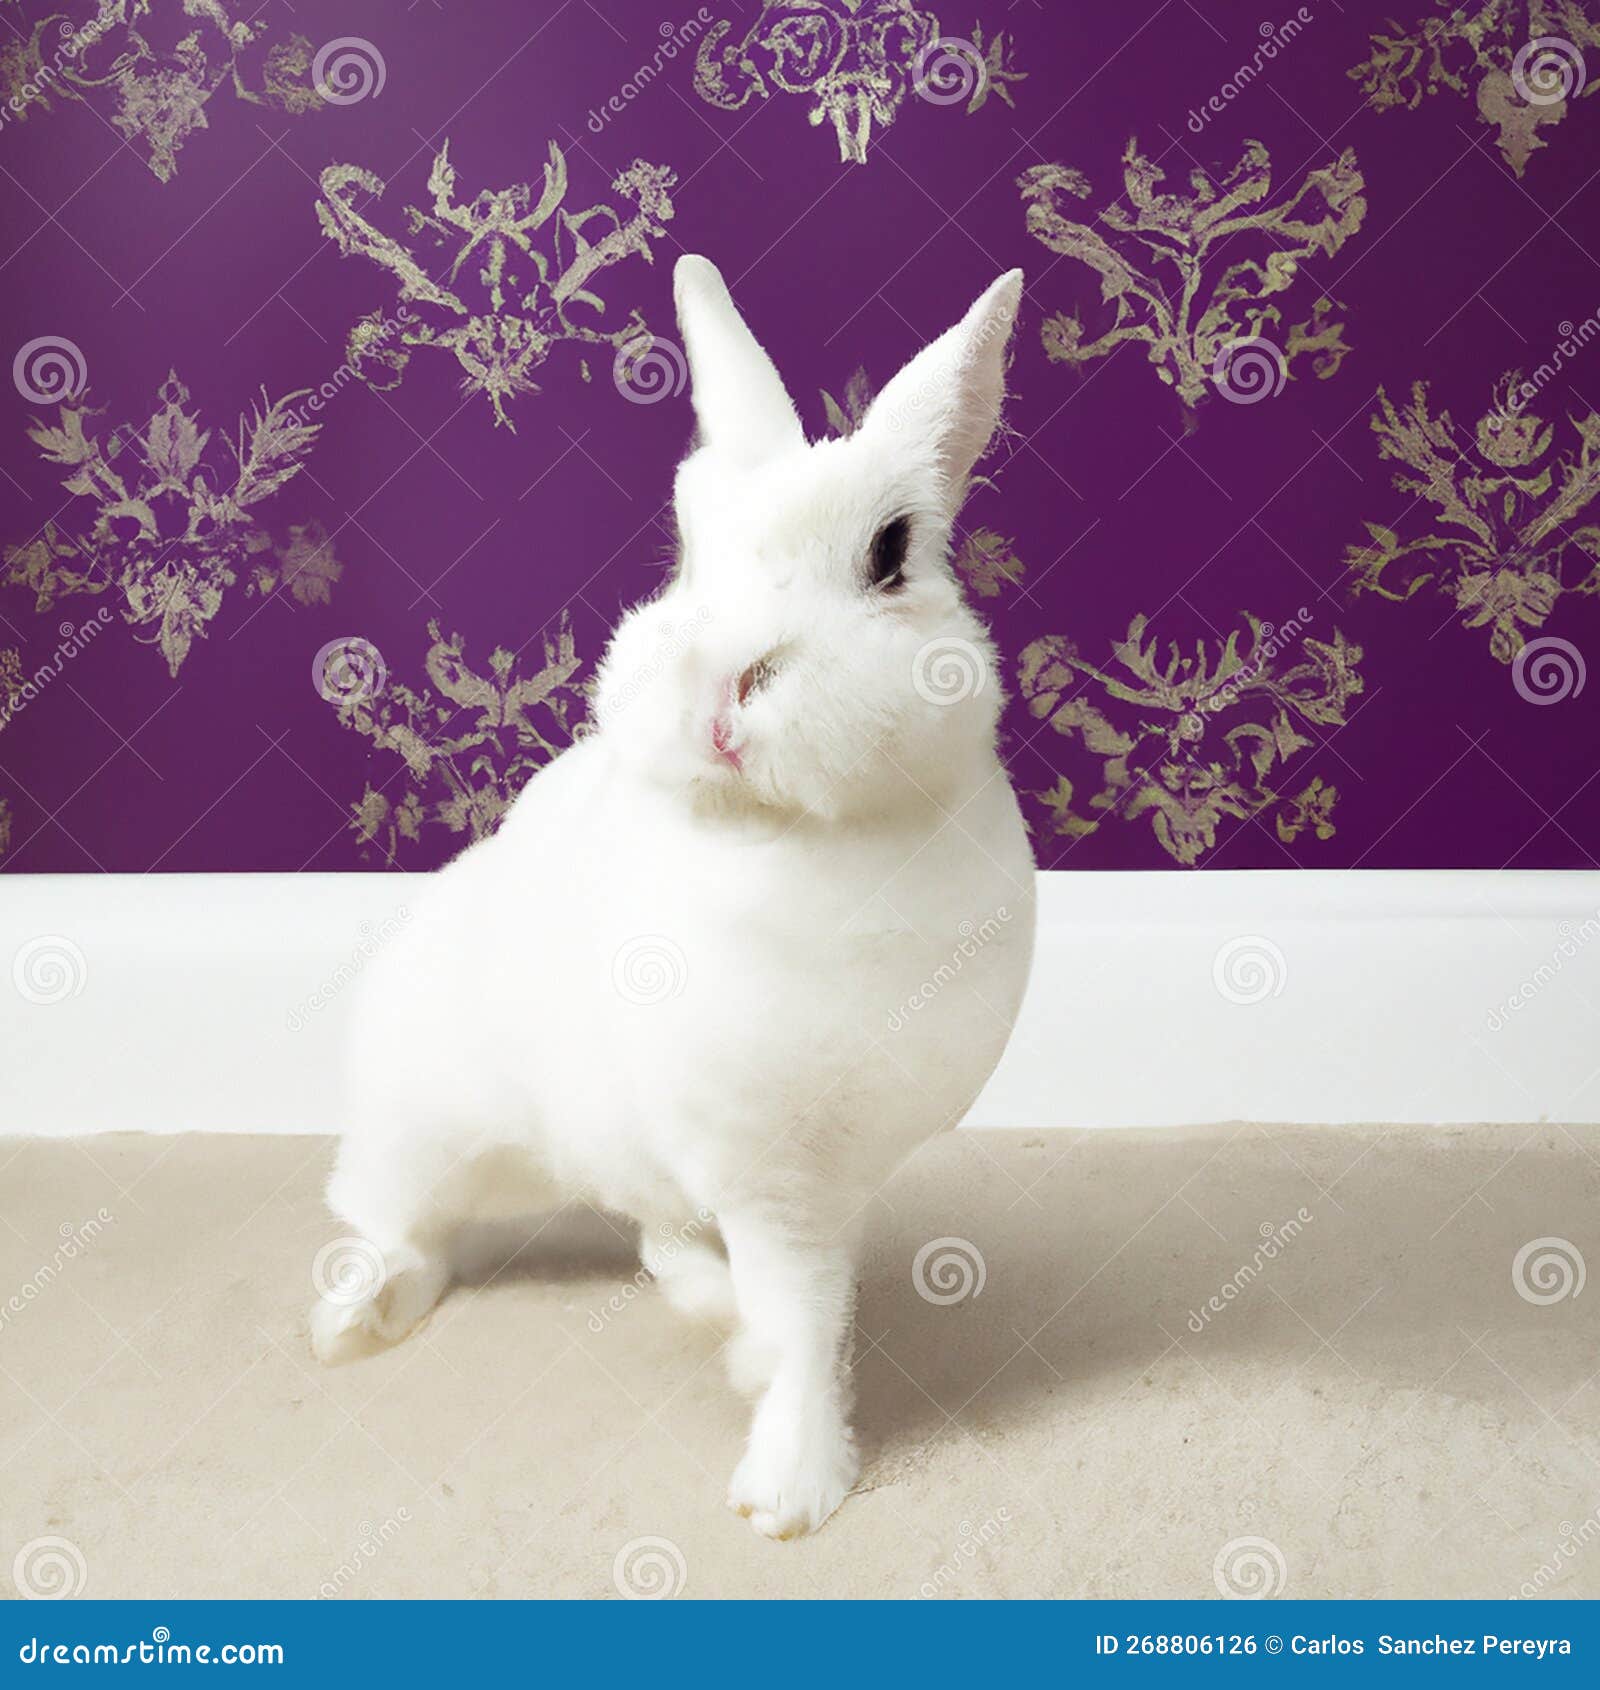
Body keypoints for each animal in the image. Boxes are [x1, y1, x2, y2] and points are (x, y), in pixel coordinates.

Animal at [310, 254, 1038, 1540]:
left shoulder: (816, 1181)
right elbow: (793, 1314)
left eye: (891, 552)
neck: (790, 834)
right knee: (398, 1220)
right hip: (425, 1113)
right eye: (688, 556)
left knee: (606, 1234)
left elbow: (809, 1314)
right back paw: (353, 1322)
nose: (725, 683)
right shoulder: (764, 1168)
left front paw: (789, 1455)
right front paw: (790, 1490)